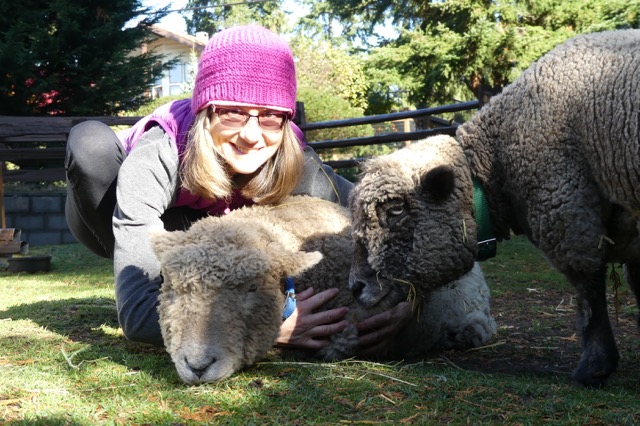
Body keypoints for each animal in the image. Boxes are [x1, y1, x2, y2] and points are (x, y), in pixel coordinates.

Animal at [349, 29, 640, 388]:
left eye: (394, 212)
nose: (355, 287)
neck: (495, 165)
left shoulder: (566, 208)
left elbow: (589, 292)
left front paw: (595, 367)